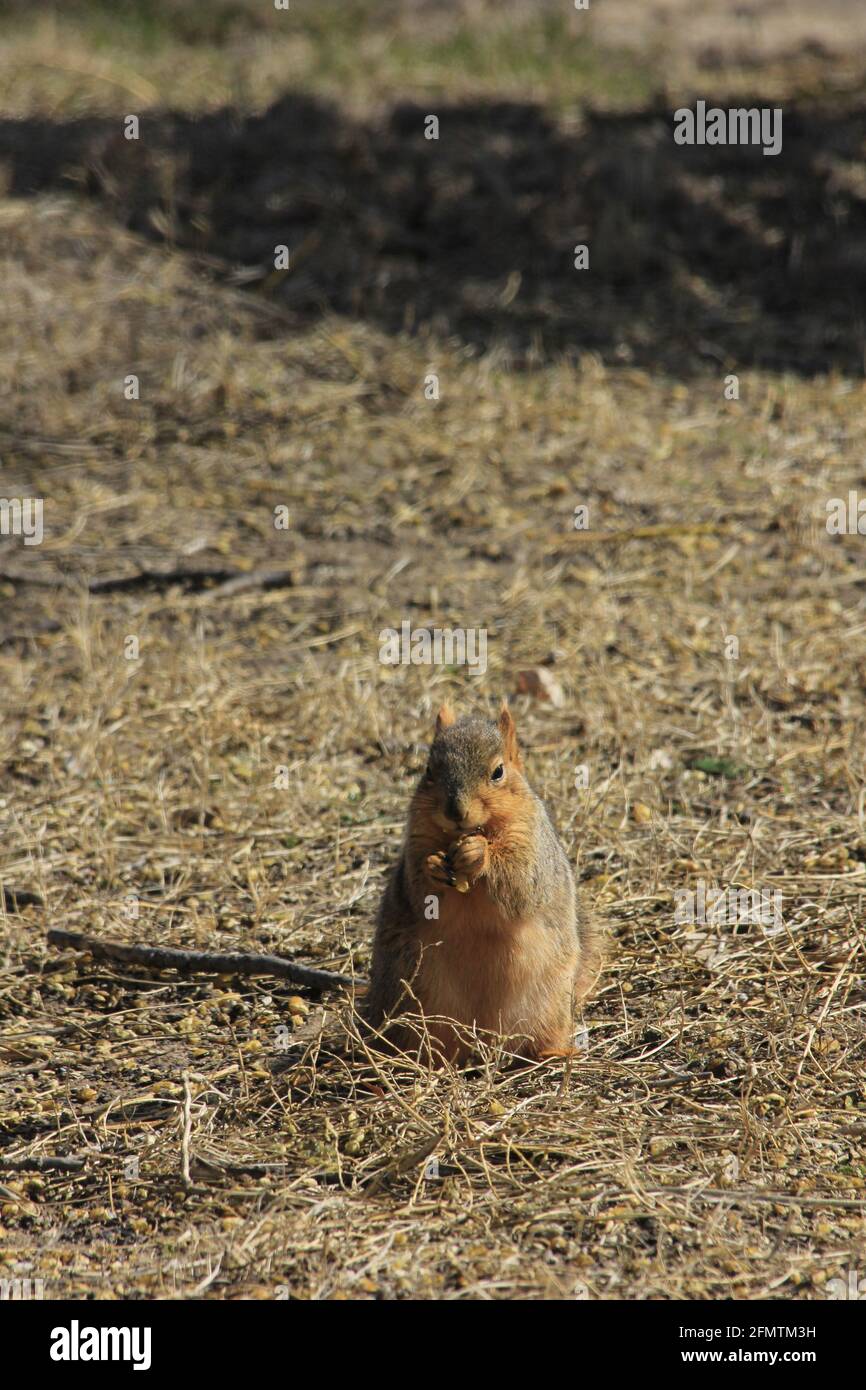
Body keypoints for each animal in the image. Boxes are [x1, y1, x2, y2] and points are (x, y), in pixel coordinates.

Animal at [365, 702, 601, 1063]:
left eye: (498, 772)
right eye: (429, 770)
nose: (456, 811)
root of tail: (484, 1039)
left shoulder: (531, 844)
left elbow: (521, 883)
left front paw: (478, 855)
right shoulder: (416, 845)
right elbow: (420, 892)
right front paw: (434, 866)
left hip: (549, 1002)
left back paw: (556, 1052)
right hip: (408, 998)